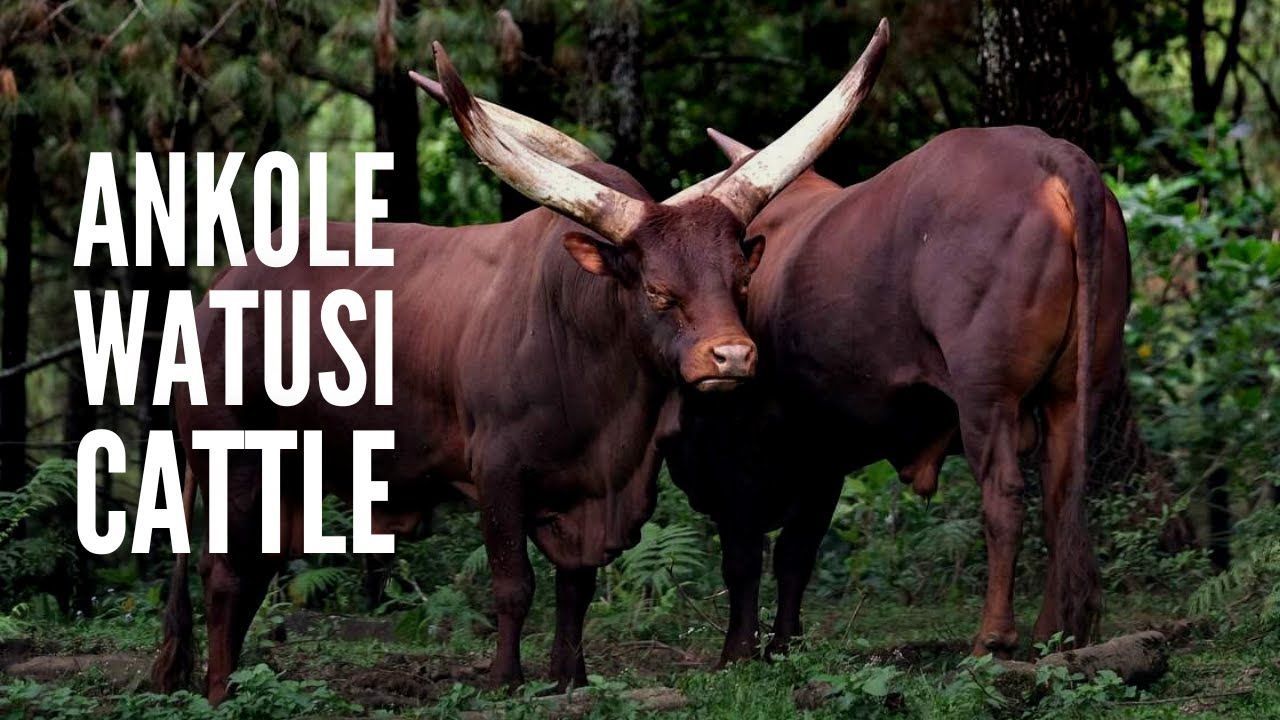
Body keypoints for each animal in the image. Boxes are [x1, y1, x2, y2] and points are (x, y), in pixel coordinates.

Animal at [152, 25, 890, 704]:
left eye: (740, 279)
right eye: (657, 290)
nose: (733, 355)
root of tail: (216, 293)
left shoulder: (590, 493)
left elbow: (576, 586)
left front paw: (569, 677)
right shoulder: (497, 470)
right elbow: (514, 583)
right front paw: (506, 682)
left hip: (289, 480)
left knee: (254, 568)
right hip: (232, 459)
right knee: (225, 573)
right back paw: (220, 692)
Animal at [656, 125, 1131, 665]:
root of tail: (1049, 152)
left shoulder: (741, 454)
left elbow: (744, 558)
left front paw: (737, 653)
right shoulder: (822, 458)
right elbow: (796, 554)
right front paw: (784, 644)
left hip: (987, 397)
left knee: (1005, 497)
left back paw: (993, 639)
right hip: (1071, 393)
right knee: (1062, 498)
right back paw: (1057, 633)